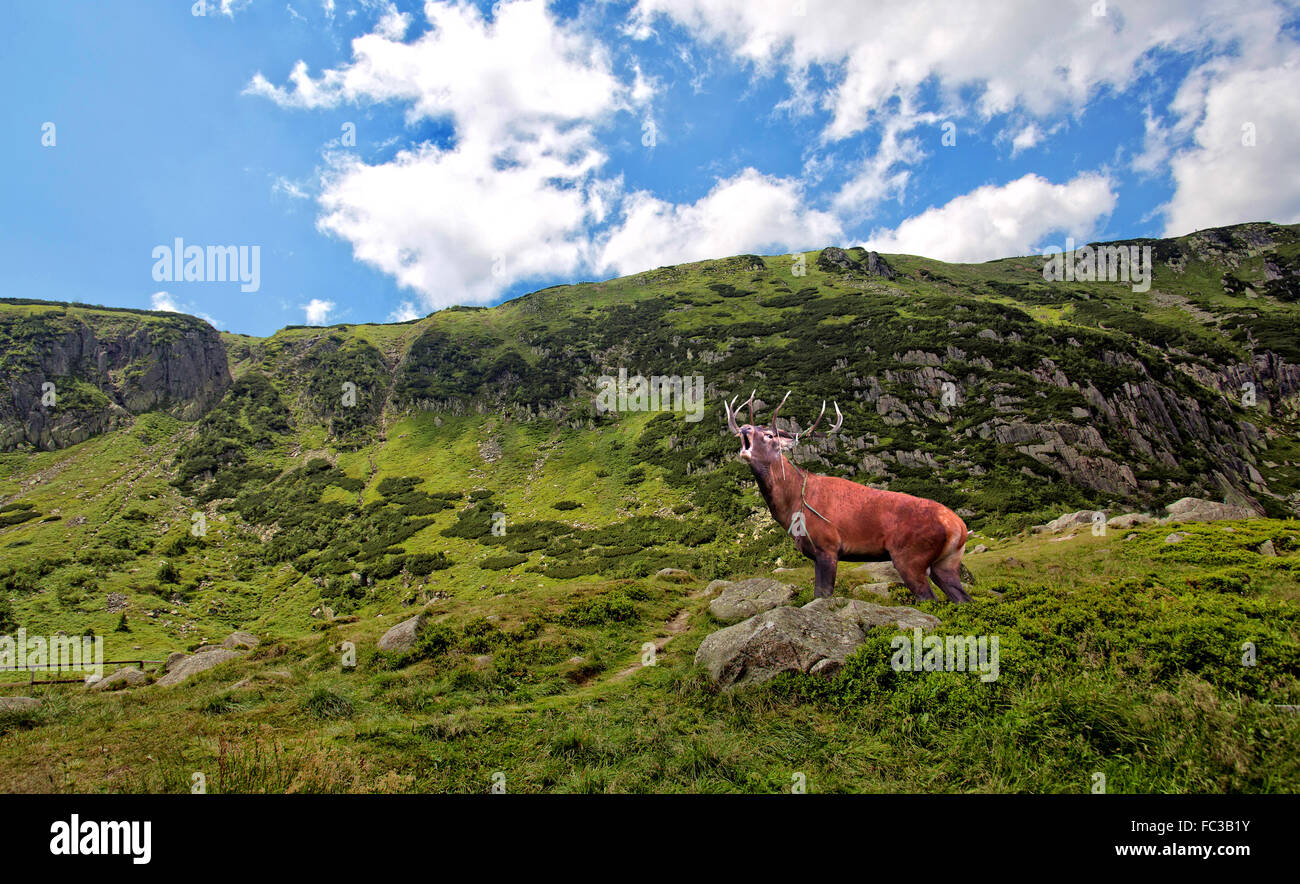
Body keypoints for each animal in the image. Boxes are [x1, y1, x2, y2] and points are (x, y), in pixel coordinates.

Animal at [724, 391, 971, 602]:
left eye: (768, 435)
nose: (744, 427)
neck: (793, 506)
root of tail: (958, 526)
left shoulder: (828, 546)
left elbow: (822, 595)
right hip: (947, 563)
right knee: (963, 598)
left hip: (911, 557)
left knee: (930, 598)